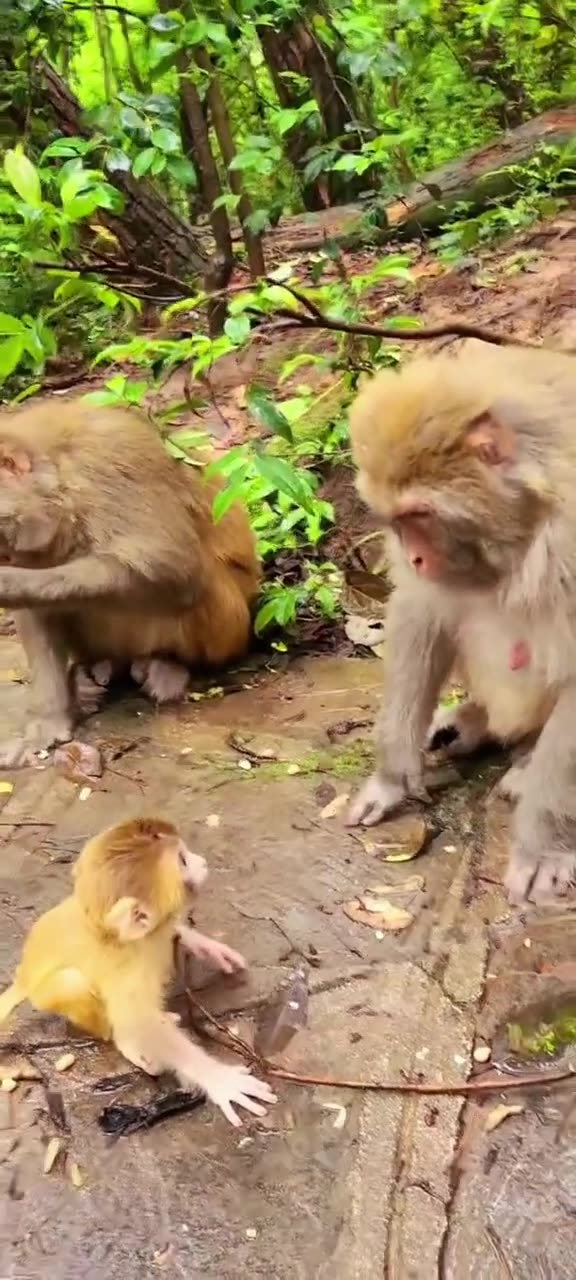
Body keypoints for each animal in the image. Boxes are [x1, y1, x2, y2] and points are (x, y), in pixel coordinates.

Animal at [0, 399, 260, 767]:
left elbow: (174, 568)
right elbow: (37, 614)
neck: (61, 478)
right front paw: (46, 723)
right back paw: (96, 671)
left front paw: (7, 582)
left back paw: (167, 665)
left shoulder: (114, 465)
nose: (3, 558)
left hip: (230, 624)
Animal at [0, 817, 277, 1127]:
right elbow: (141, 1021)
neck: (116, 936)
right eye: (182, 860)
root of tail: (23, 977)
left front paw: (202, 944)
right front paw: (217, 1078)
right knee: (71, 982)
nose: (202, 862)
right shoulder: (126, 968)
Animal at [345, 341, 576, 905]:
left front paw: (544, 845)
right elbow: (420, 613)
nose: (416, 557)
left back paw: (525, 765)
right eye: (397, 521)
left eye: (421, 514)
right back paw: (470, 722)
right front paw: (393, 773)